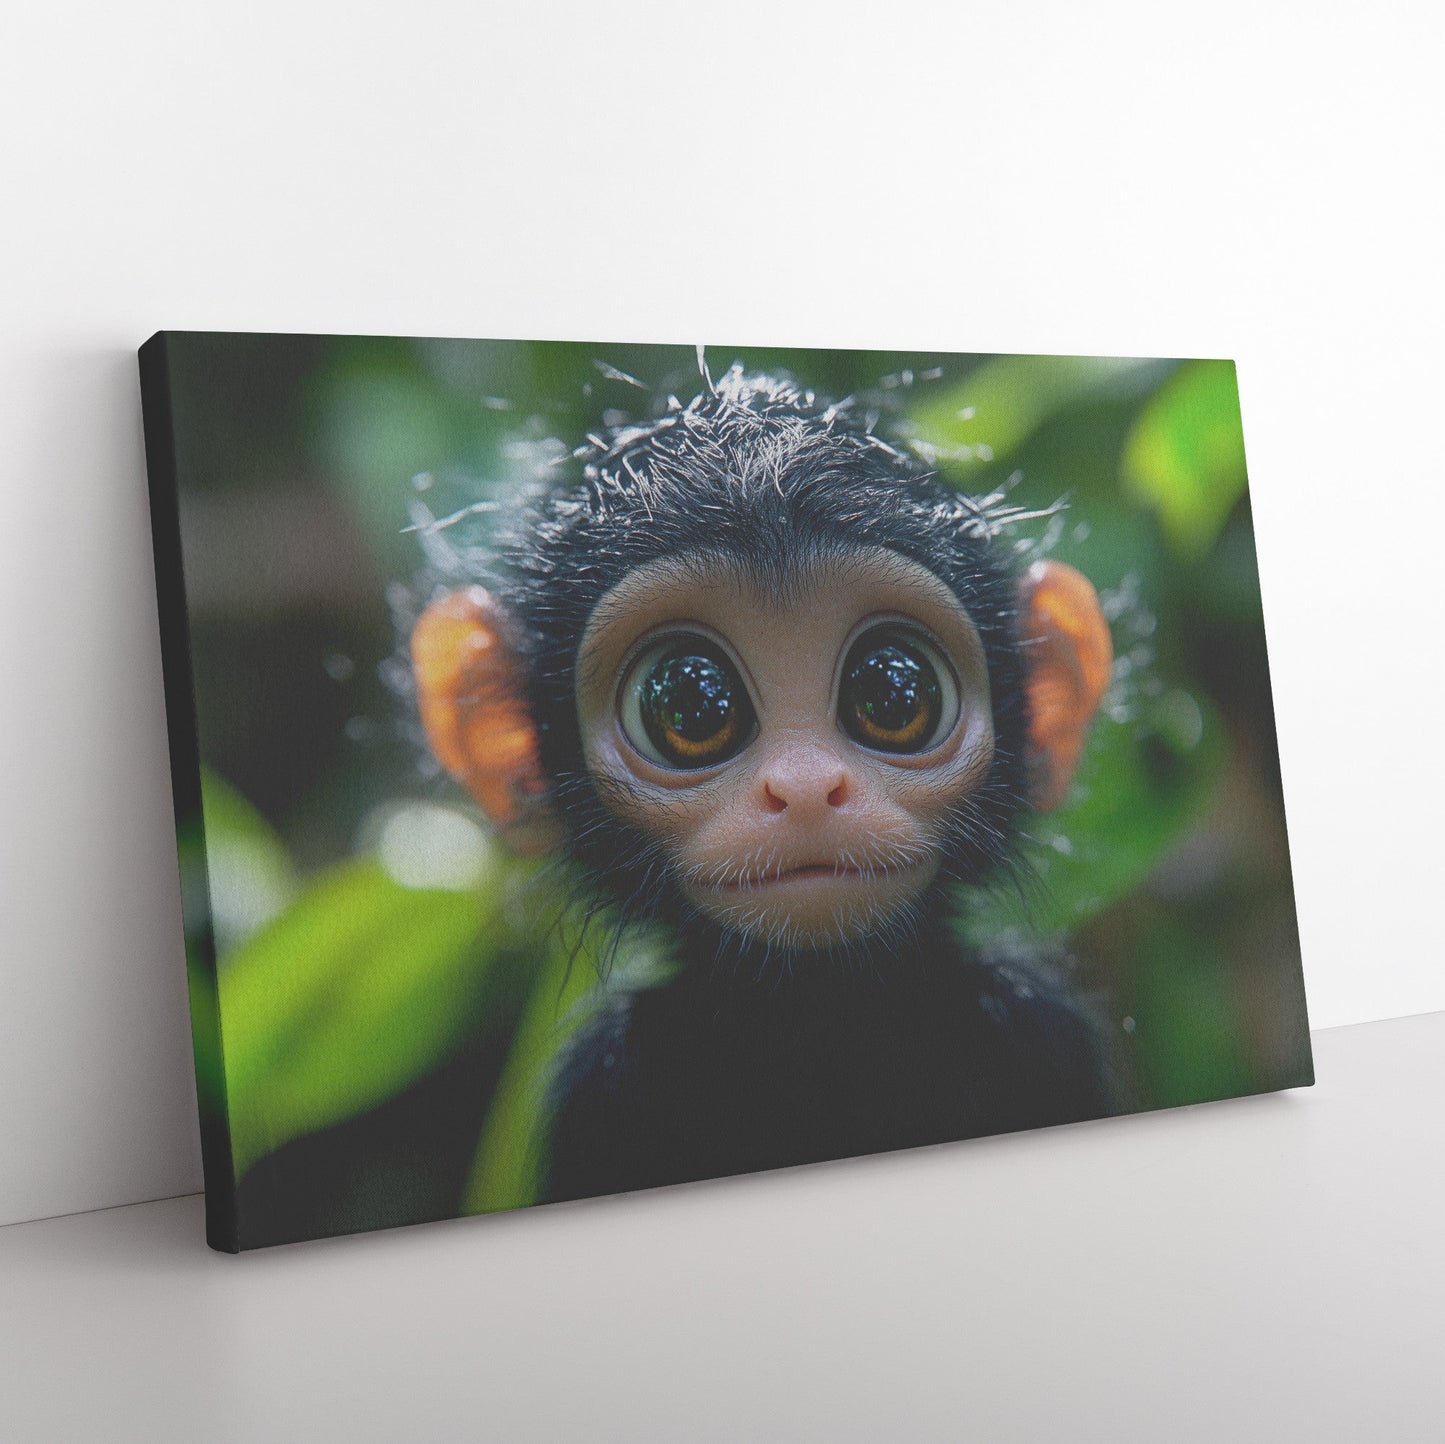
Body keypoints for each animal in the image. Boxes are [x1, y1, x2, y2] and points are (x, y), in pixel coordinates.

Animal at [409, 363, 1116, 1204]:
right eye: (689, 704)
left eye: (894, 694)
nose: (805, 788)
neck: (814, 1023)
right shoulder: (600, 1091)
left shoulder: (1041, 1030)